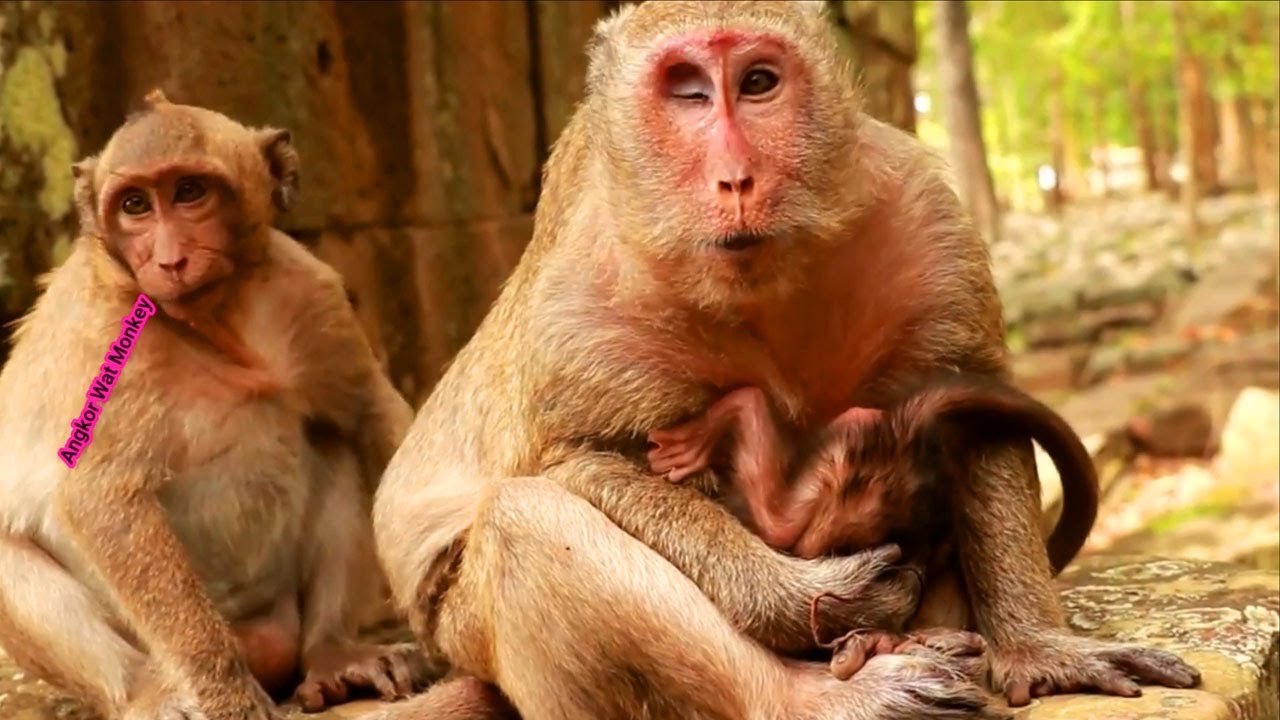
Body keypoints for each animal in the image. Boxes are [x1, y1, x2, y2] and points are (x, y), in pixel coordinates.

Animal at [0, 90, 431, 720]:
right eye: (135, 205)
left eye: (189, 192)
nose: (170, 259)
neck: (217, 320)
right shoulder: (106, 340)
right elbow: (101, 499)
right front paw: (226, 693)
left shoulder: (310, 294)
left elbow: (371, 415)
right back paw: (149, 695)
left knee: (334, 440)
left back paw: (332, 654)